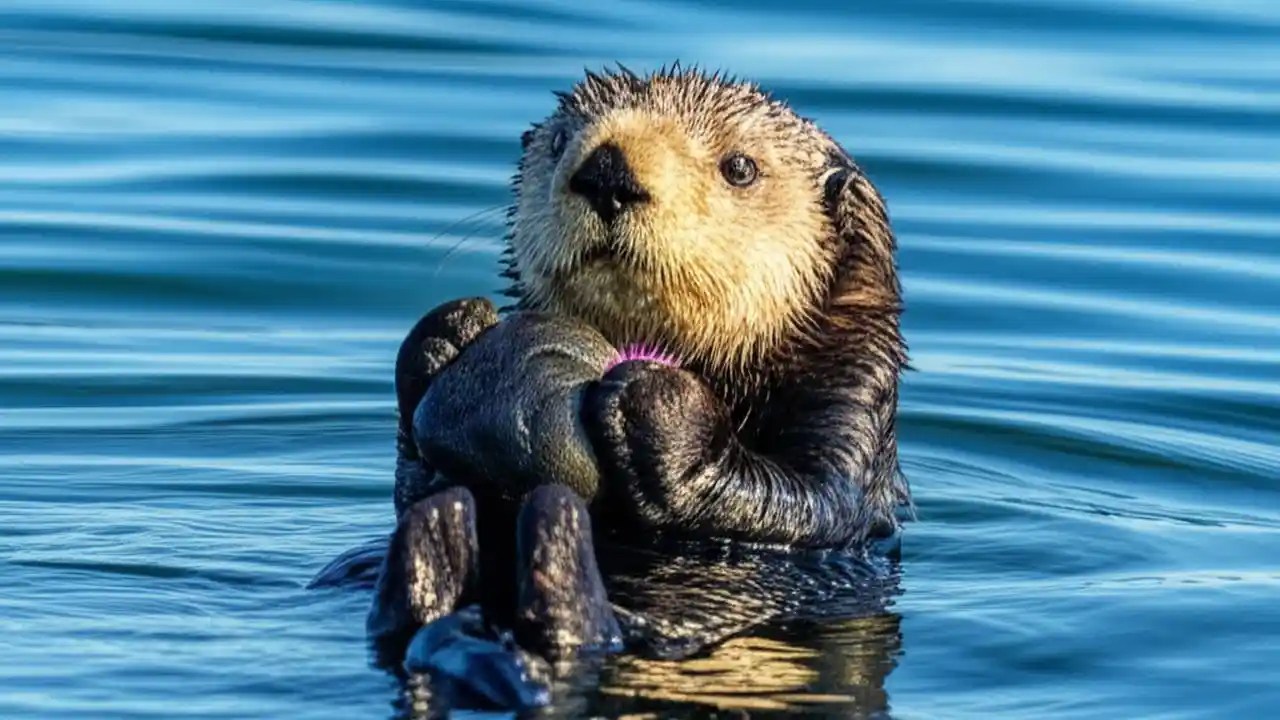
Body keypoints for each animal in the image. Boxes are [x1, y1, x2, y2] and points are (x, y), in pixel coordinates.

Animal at [315, 65, 910, 708]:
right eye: (558, 142)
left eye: (740, 167)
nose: (607, 172)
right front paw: (449, 333)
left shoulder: (846, 416)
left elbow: (815, 503)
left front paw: (657, 404)